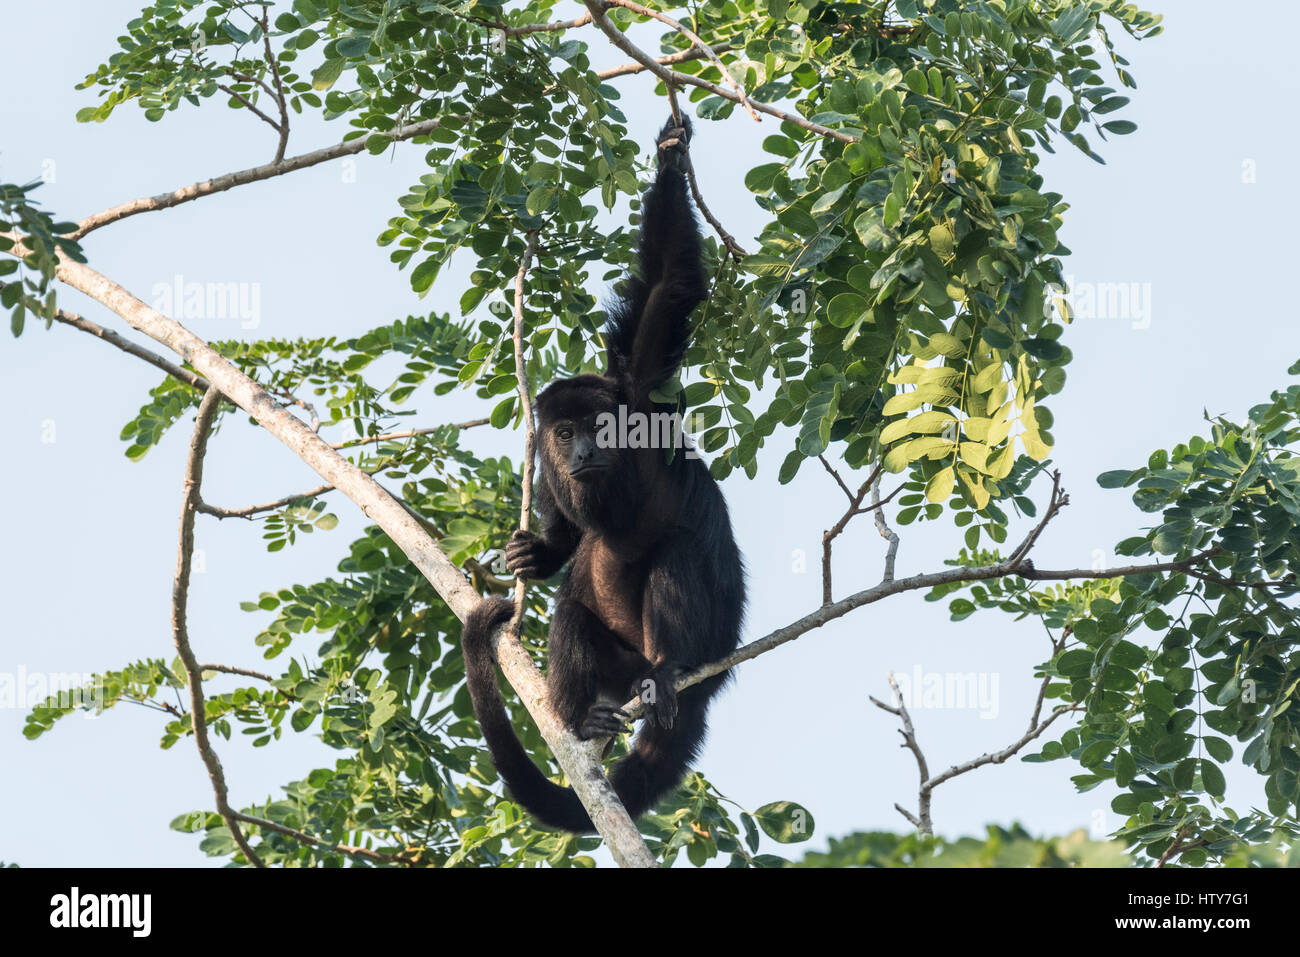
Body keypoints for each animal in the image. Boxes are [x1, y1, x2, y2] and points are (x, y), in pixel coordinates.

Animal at [459, 115, 745, 834]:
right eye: (563, 434)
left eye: (599, 427)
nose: (584, 451)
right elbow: (564, 536)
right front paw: (535, 552)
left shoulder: (640, 395)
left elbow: (669, 284)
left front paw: (671, 156)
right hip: (613, 670)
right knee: (572, 612)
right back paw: (576, 716)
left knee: (678, 554)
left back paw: (667, 671)